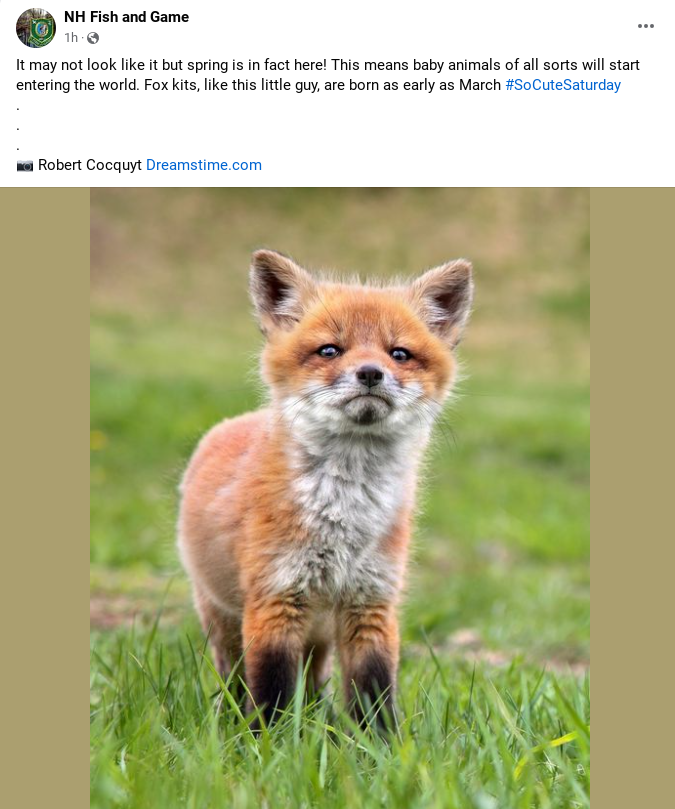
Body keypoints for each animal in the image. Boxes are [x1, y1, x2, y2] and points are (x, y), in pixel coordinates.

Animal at [178, 249, 473, 726]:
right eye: (330, 350)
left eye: (399, 354)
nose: (370, 373)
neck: (344, 517)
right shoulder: (275, 600)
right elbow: (271, 695)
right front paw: (267, 743)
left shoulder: (371, 602)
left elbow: (375, 695)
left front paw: (380, 746)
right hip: (223, 620)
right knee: (234, 679)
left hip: (318, 635)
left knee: (314, 682)